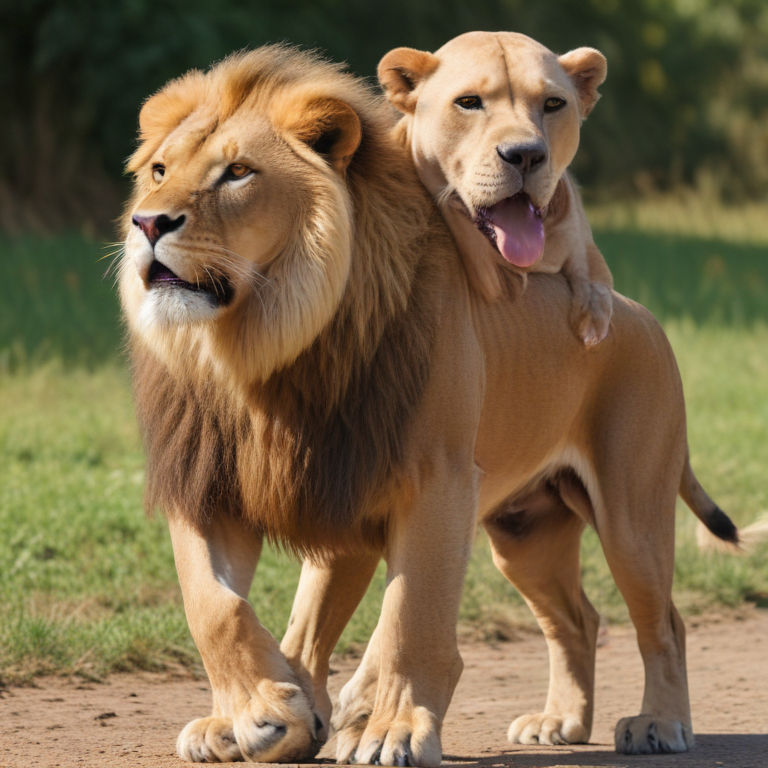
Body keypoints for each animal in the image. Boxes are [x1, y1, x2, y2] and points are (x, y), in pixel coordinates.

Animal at [379, 31, 613, 345]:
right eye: (468, 102)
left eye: (553, 104)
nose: (525, 155)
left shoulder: (578, 235)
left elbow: (593, 266)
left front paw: (592, 319)